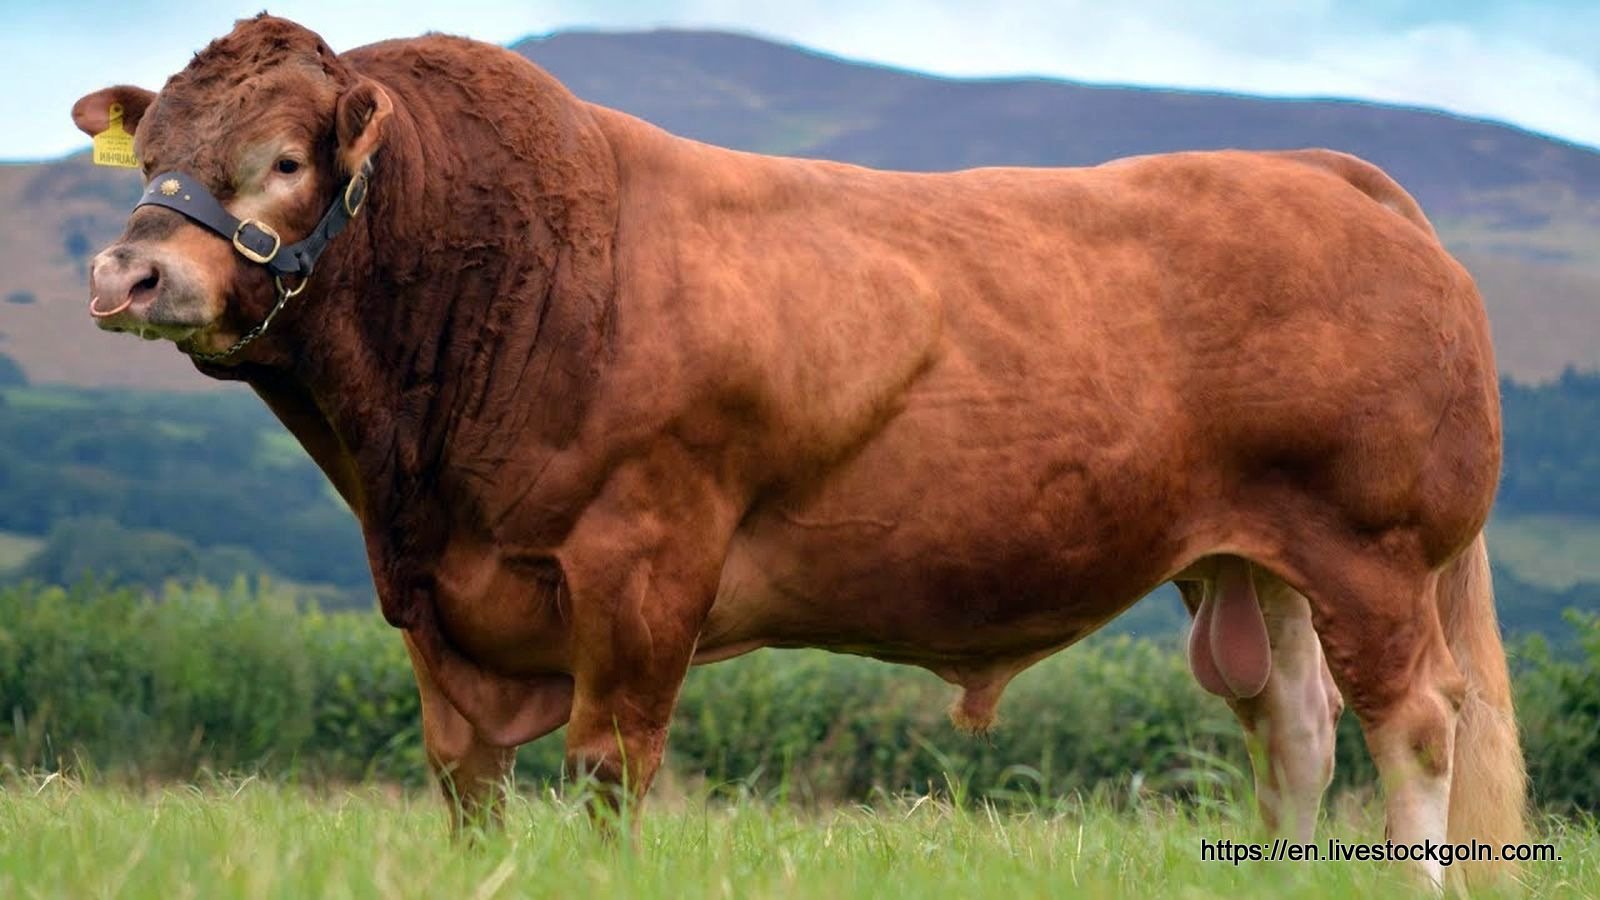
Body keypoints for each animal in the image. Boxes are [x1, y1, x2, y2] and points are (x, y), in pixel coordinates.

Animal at [73, 14, 1523, 887]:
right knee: (1295, 734)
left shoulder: (642, 568)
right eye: (148, 155)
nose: (128, 272)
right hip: (1254, 562)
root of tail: (1319, 166)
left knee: (1415, 731)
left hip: (1375, 549)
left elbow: (607, 775)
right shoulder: (438, 606)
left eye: (282, 160)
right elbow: (467, 785)